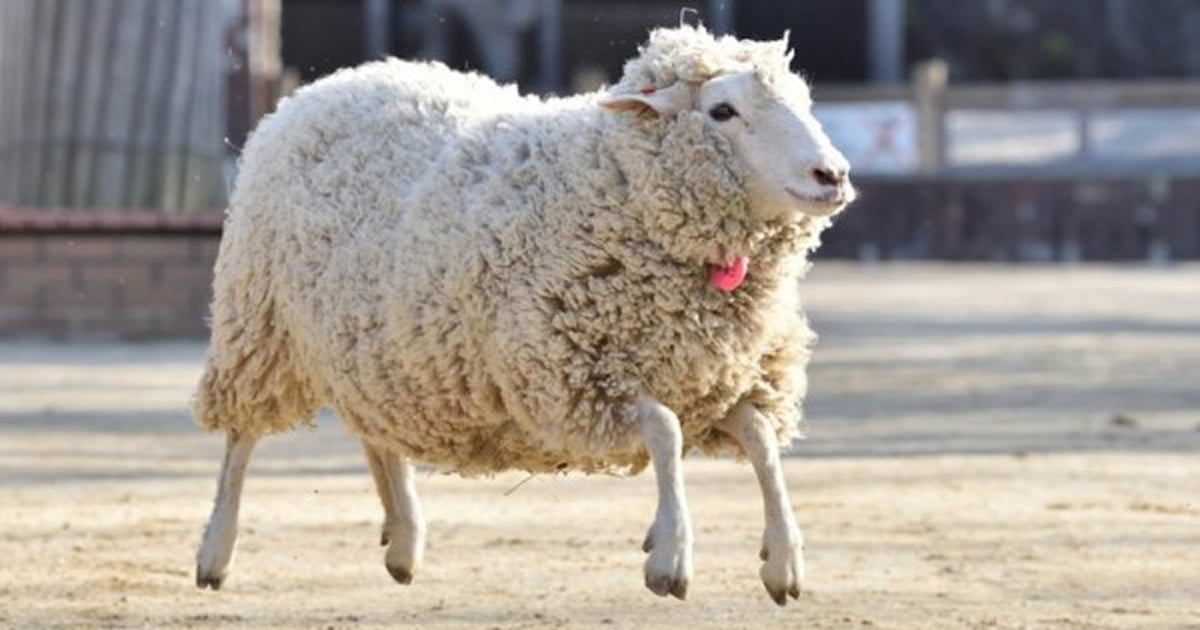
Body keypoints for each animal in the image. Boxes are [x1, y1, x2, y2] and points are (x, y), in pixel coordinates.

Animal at [193, 24, 854, 605]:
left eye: (802, 100)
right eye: (721, 111)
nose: (834, 174)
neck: (616, 186)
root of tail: (328, 84)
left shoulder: (713, 380)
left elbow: (760, 437)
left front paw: (782, 561)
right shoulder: (570, 385)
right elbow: (666, 431)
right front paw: (669, 555)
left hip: (374, 347)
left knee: (377, 436)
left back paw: (404, 540)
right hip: (258, 323)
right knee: (240, 440)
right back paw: (215, 553)